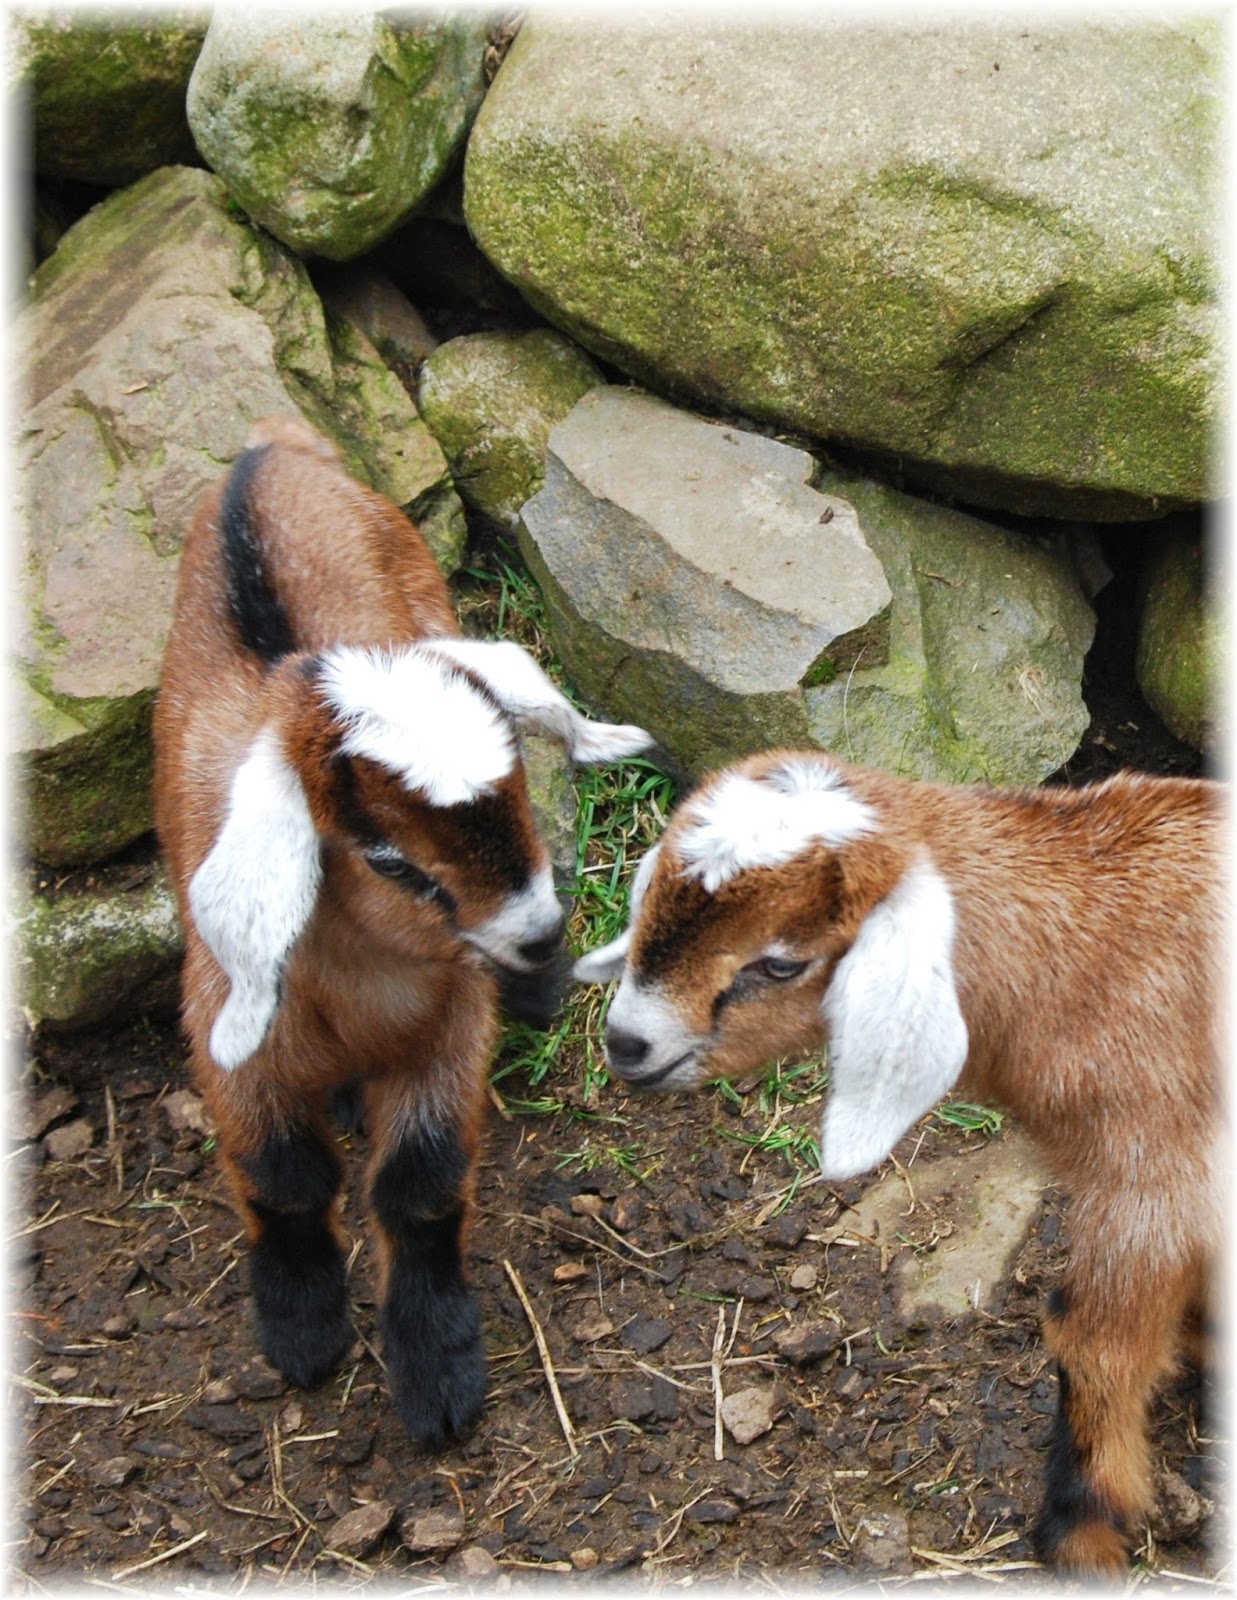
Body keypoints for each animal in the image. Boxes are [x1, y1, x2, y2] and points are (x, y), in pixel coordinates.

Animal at [153, 414, 649, 1448]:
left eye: (515, 794)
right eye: (391, 861)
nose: (540, 938)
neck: (360, 989)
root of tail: (269, 450)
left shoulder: (446, 1029)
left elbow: (418, 1188)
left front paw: (436, 1369)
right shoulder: (227, 1030)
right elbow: (284, 1177)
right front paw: (300, 1328)